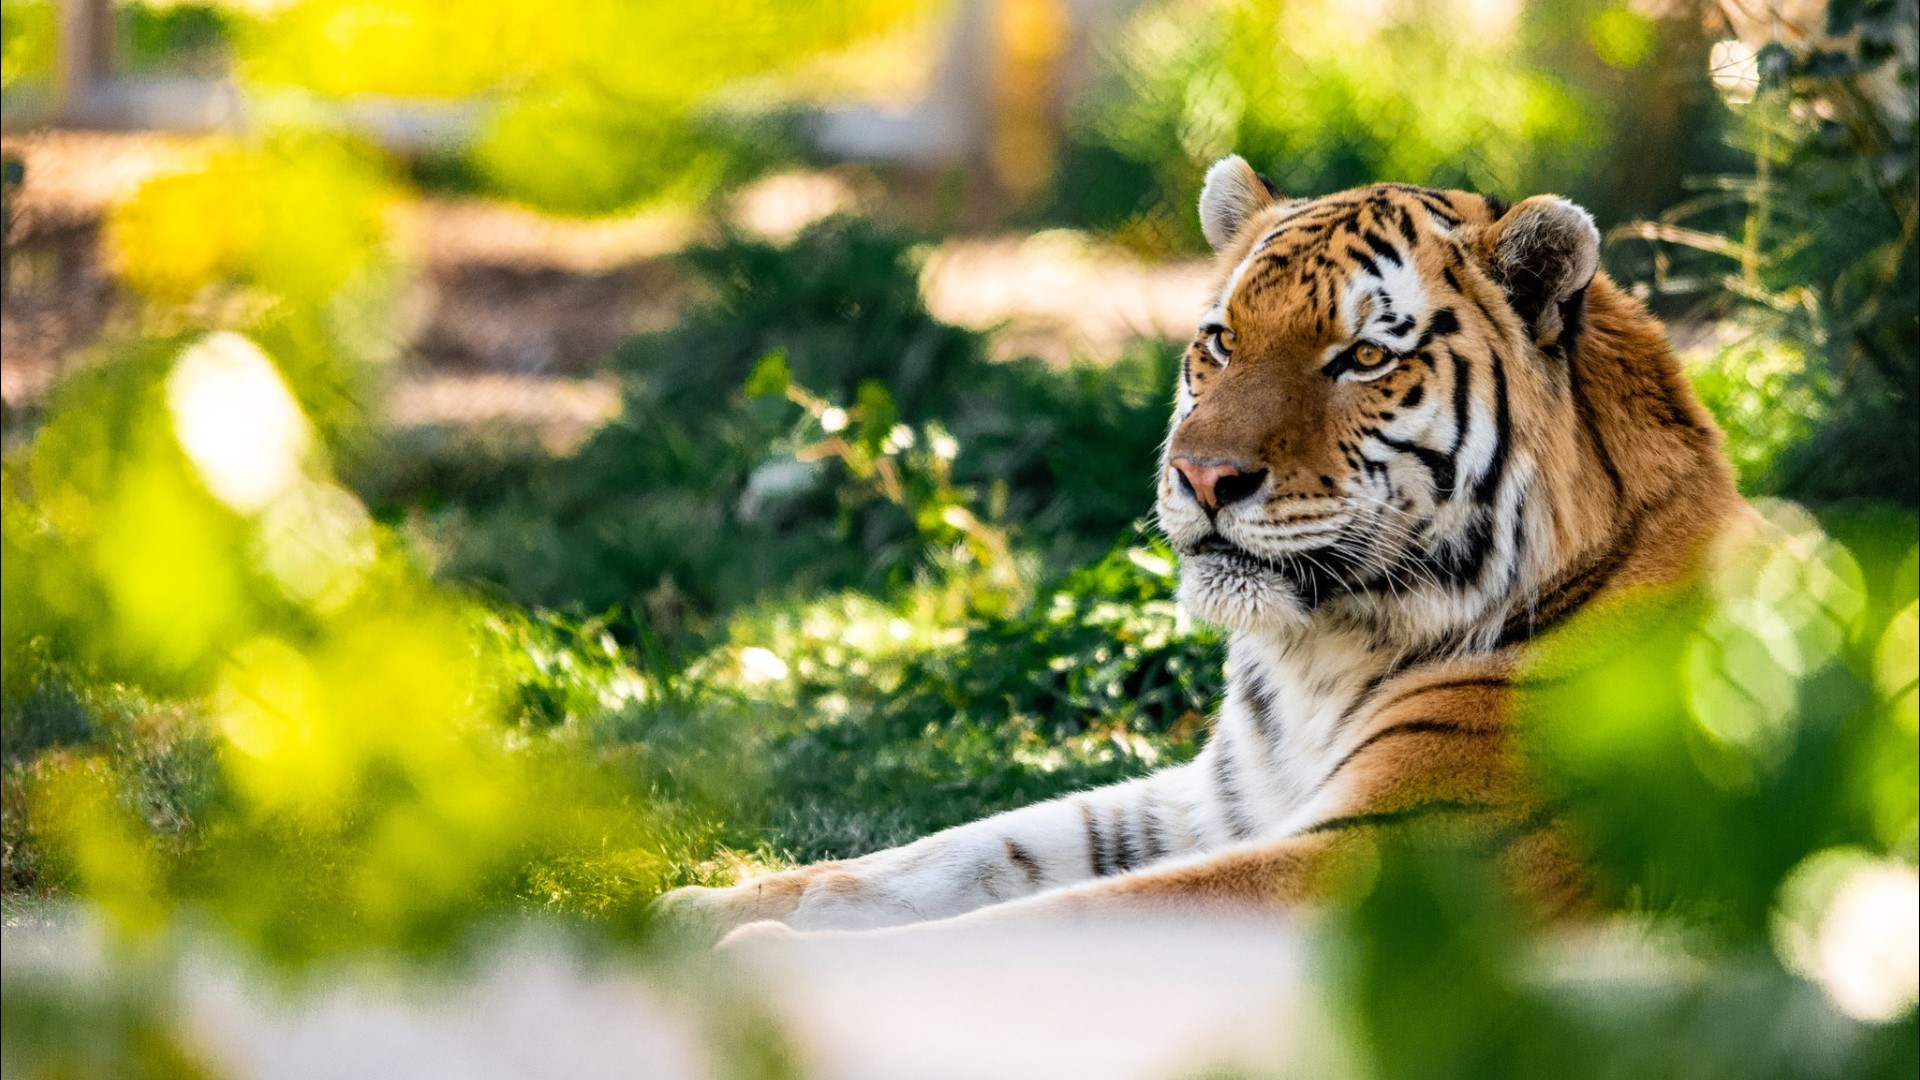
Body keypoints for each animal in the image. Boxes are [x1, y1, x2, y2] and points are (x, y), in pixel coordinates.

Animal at [656, 154, 1745, 945]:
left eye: (1365, 357)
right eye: (1221, 340)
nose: (1202, 475)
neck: (1319, 657)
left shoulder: (1393, 852)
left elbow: (1047, 924)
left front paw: (768, 955)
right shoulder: (1215, 804)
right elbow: (961, 852)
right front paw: (693, 910)